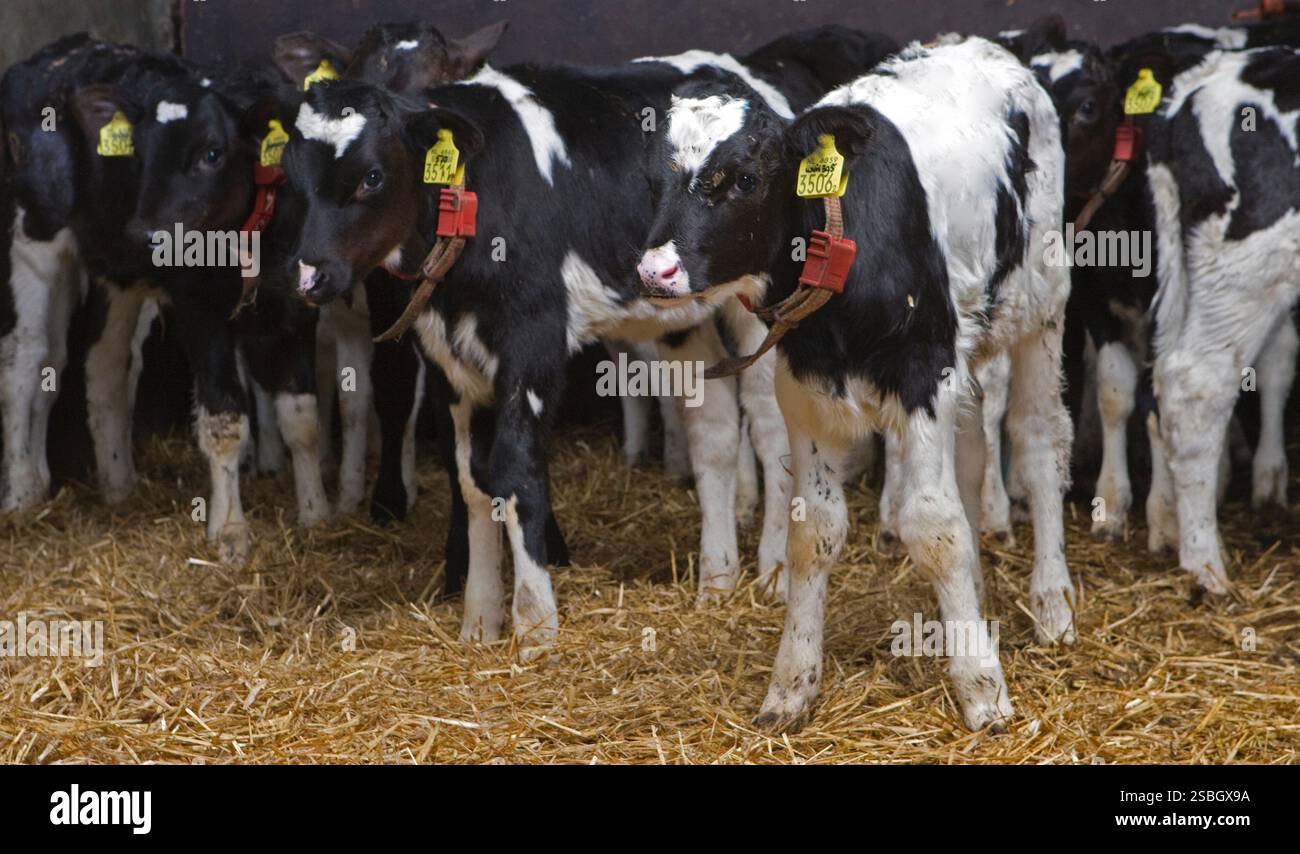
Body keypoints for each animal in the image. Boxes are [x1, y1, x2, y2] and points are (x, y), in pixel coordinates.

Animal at [636, 37, 1074, 731]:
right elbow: (812, 533)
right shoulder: (804, 391)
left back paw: (1053, 603)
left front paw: (982, 688)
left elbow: (933, 526)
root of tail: (981, 47)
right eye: (654, 183)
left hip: (1042, 304)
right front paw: (791, 686)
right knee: (974, 445)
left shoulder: (922, 374)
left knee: (1037, 440)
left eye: (744, 179)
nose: (656, 271)